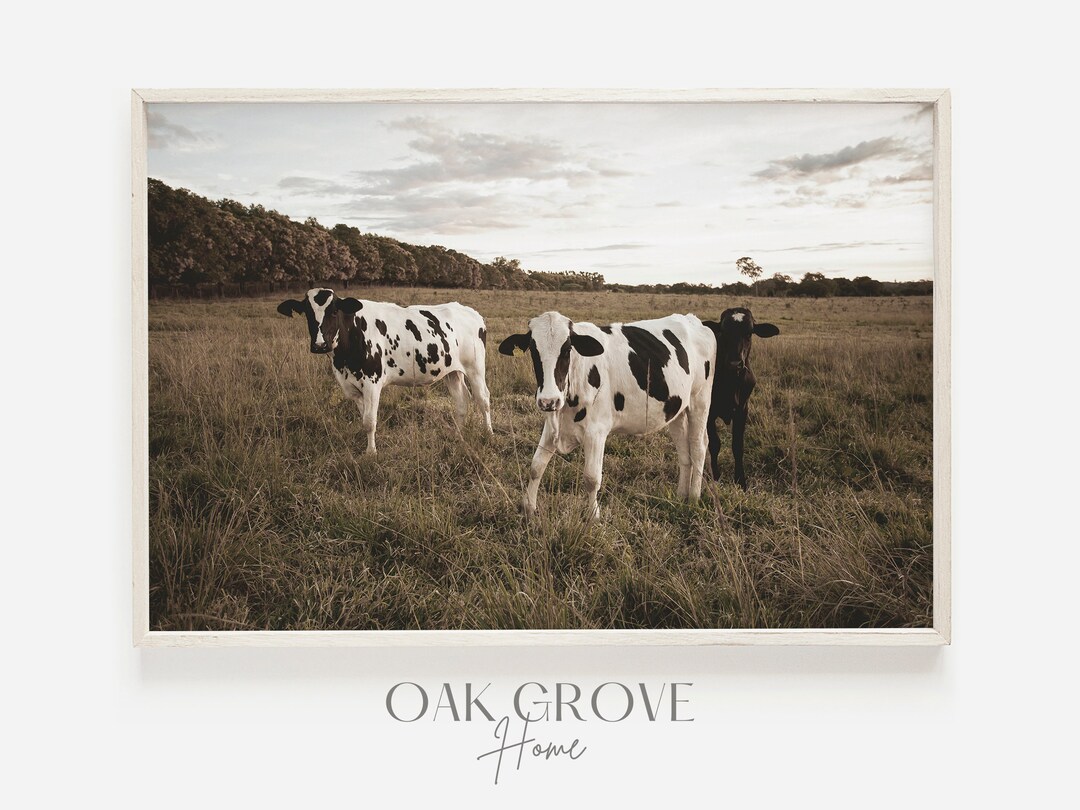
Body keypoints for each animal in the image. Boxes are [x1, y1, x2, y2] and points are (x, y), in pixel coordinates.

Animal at [277, 288, 493, 453]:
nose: (320, 345)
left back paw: (488, 433)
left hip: (475, 368)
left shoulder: (372, 382)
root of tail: (469, 311)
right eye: (307, 312)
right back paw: (458, 436)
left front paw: (371, 453)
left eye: (334, 311)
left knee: (483, 398)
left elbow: (370, 421)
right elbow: (364, 419)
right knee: (462, 401)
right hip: (452, 371)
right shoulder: (352, 386)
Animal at [499, 310, 717, 518]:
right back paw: (680, 495)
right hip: (676, 409)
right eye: (534, 350)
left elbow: (591, 478)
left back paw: (694, 498)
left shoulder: (596, 431)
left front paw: (593, 516)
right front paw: (528, 508)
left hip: (700, 401)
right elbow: (536, 466)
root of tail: (694, 320)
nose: (548, 401)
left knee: (698, 447)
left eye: (567, 349)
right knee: (684, 451)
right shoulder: (553, 426)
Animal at [701, 307, 780, 489]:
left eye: (749, 332)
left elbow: (738, 445)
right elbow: (715, 444)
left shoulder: (742, 410)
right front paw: (716, 475)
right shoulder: (710, 412)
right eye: (723, 331)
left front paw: (740, 480)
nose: (734, 363)